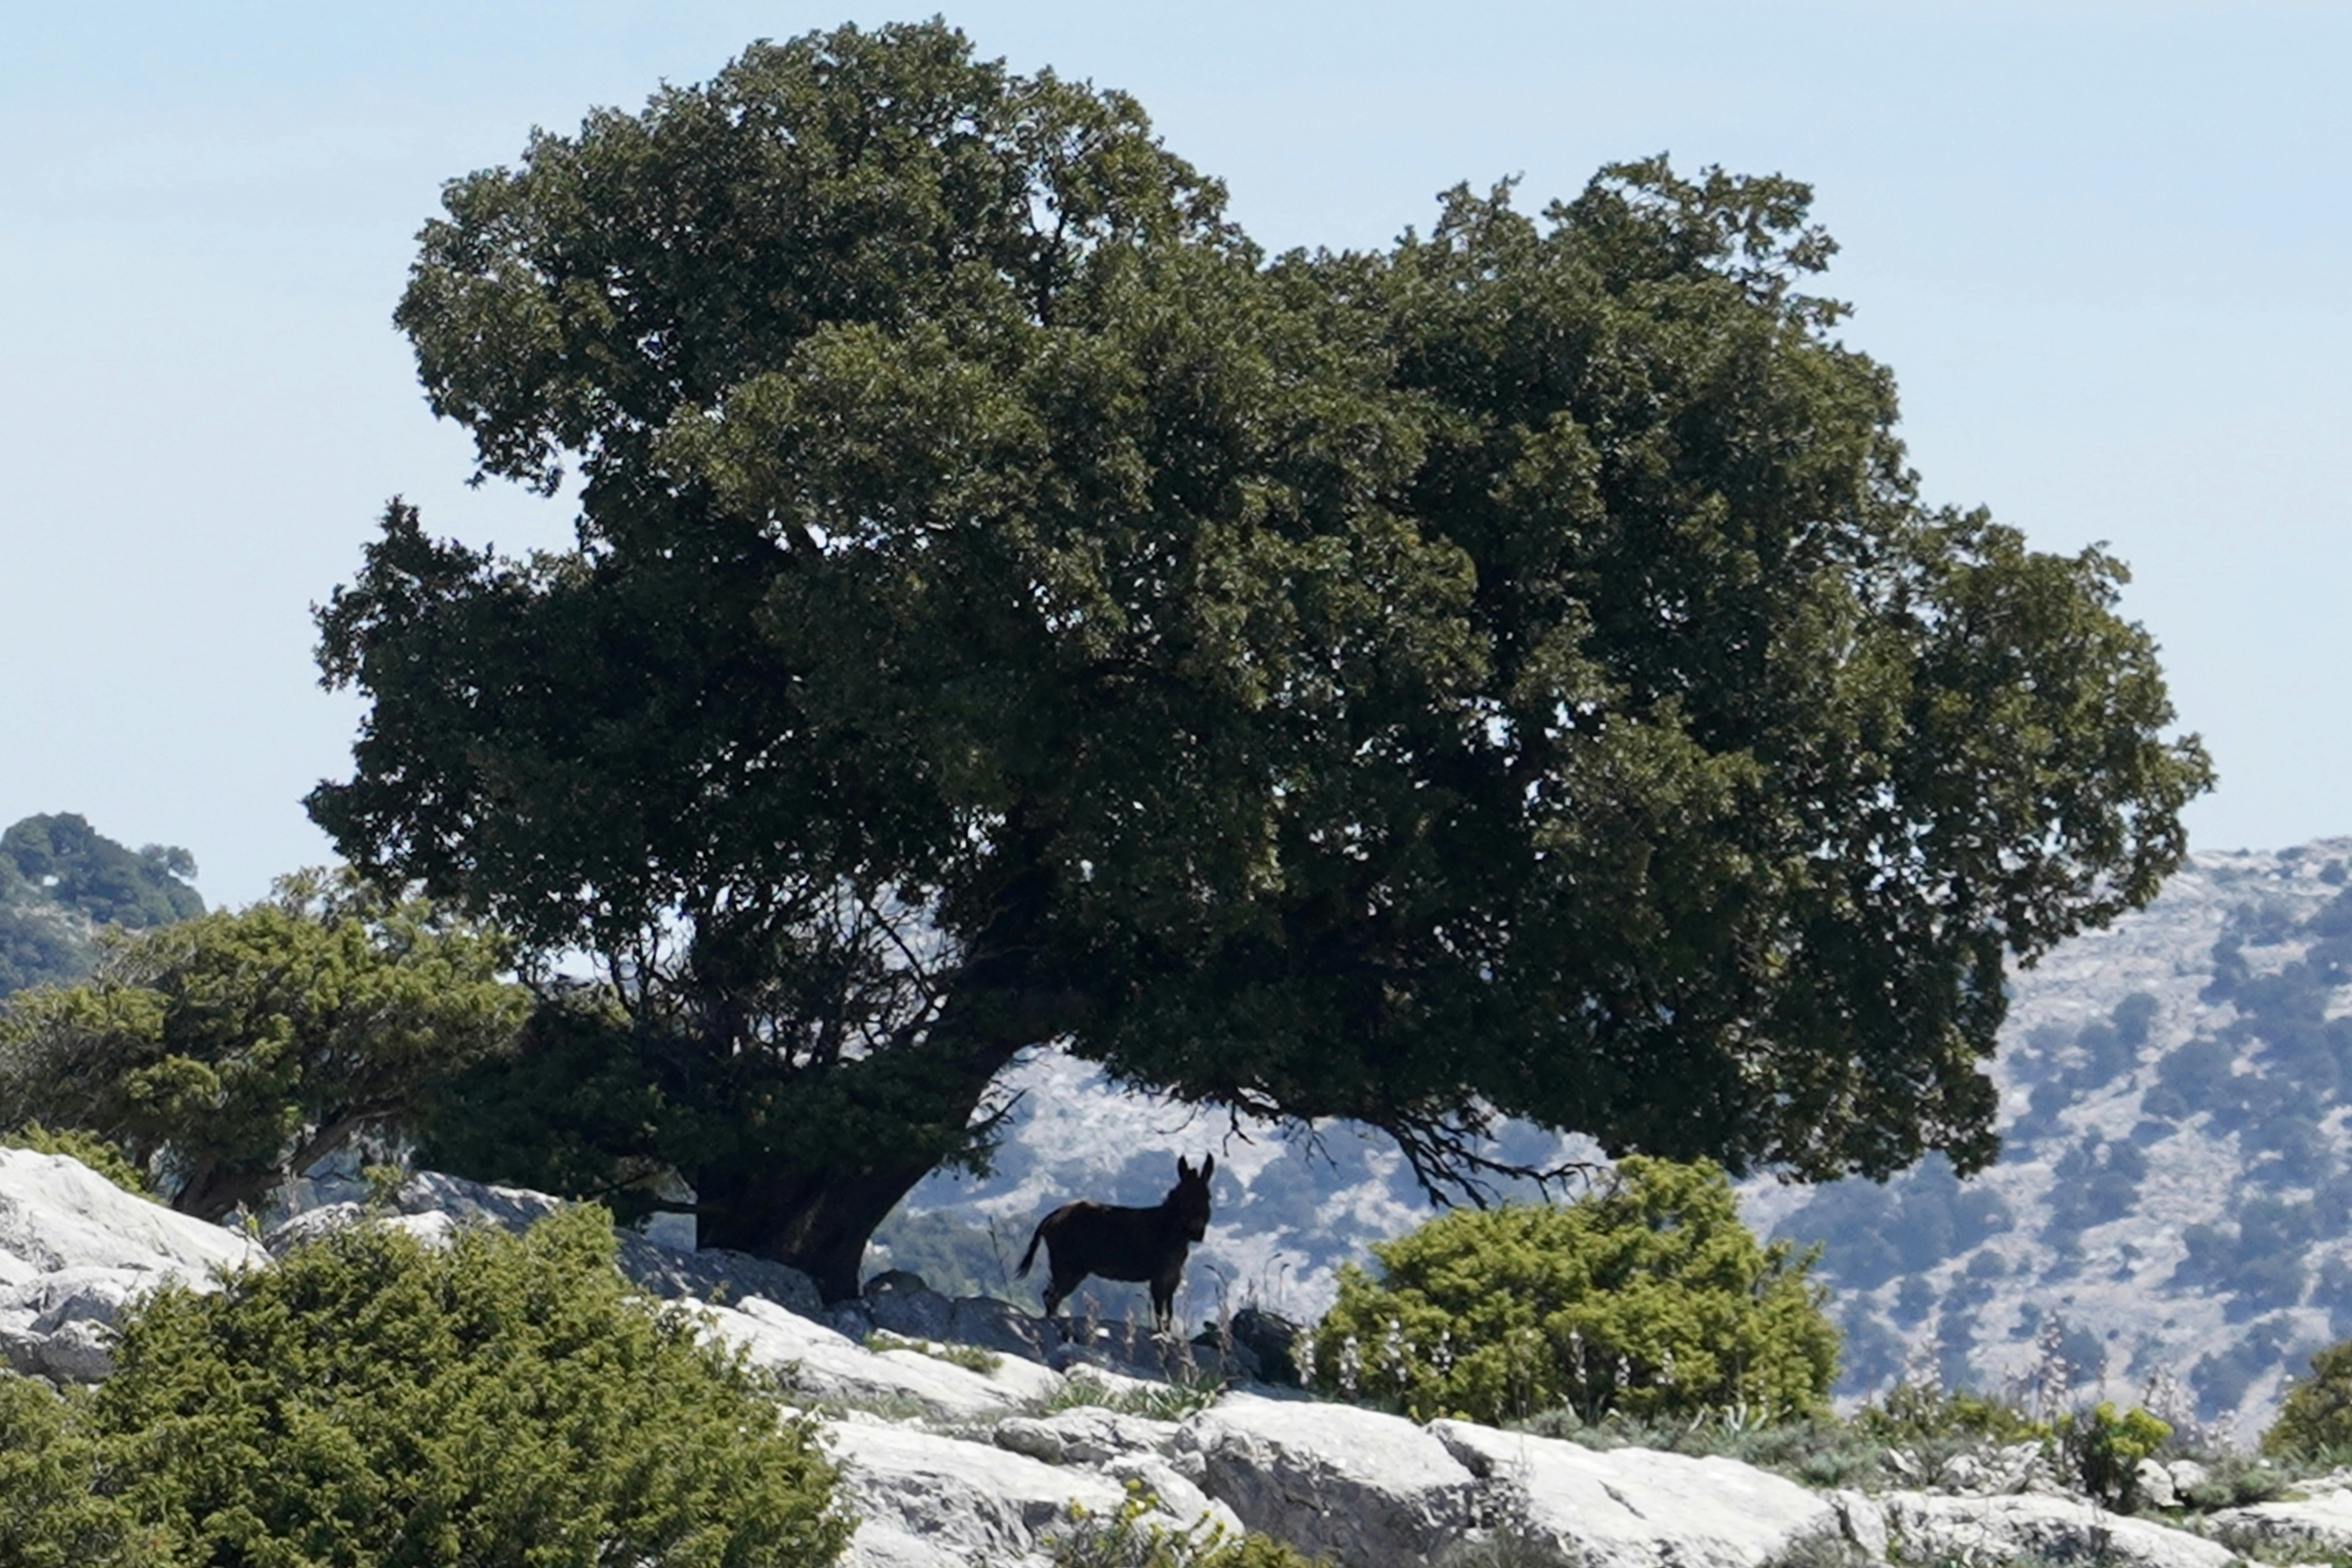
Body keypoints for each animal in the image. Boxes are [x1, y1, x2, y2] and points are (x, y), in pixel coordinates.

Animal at [1016, 1154, 1215, 1334]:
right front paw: (1162, 1336)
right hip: (1068, 1268)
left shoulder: (1173, 1278)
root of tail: (1053, 1216)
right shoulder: (1159, 1277)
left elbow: (1170, 1312)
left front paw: (1169, 1335)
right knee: (1051, 1297)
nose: (1198, 1233)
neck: (1173, 1232)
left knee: (1050, 1296)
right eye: (1184, 1197)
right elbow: (1160, 1311)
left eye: (1208, 1197)